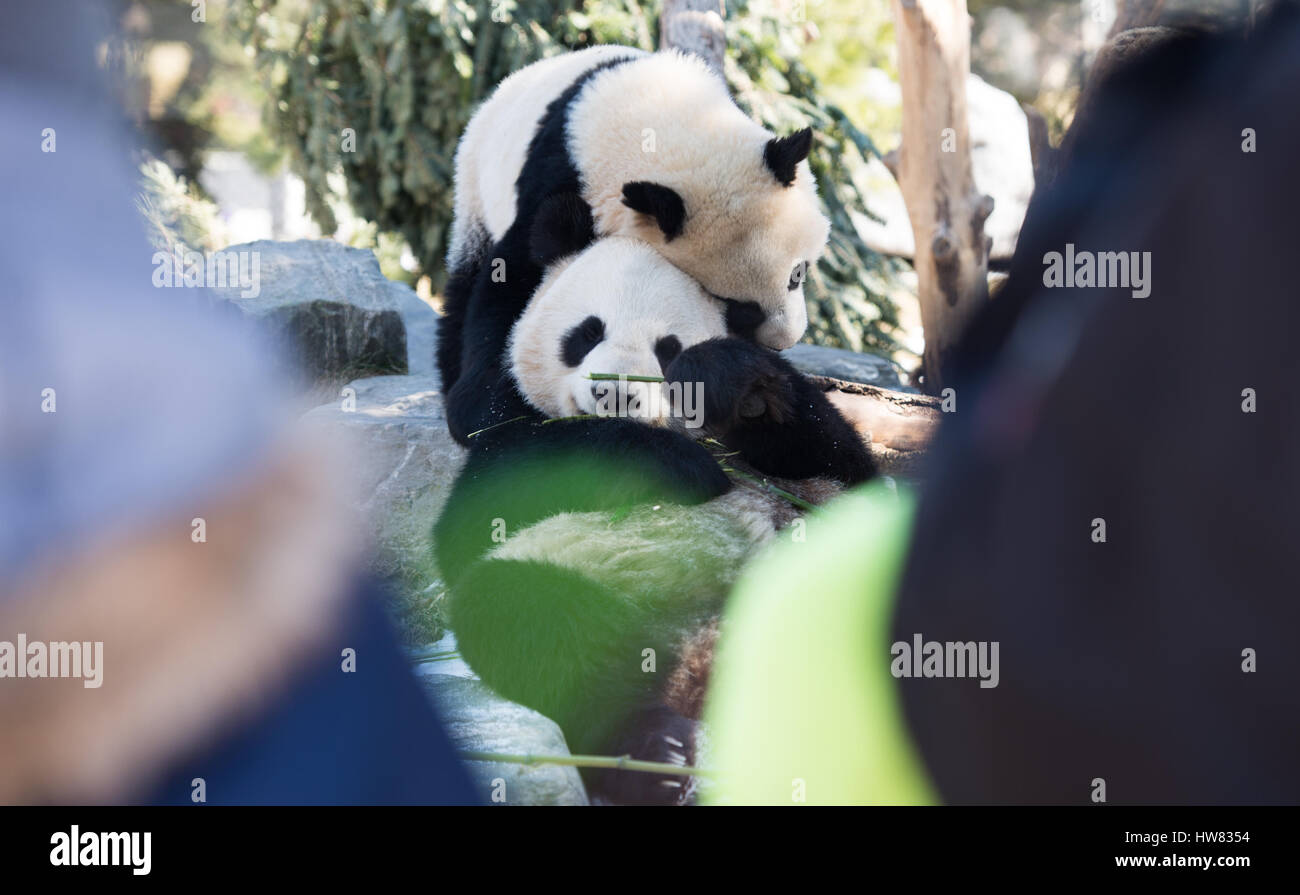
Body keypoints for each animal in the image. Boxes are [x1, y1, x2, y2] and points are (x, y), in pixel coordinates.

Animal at [433, 211, 872, 804]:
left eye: (667, 347)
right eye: (587, 333)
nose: (617, 393)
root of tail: (701, 659)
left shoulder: (812, 472)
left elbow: (838, 455)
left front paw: (733, 384)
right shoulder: (505, 438)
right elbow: (474, 524)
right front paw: (676, 462)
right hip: (596, 582)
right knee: (535, 622)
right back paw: (653, 751)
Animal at [438, 46, 831, 444]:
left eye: (797, 274)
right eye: (738, 307)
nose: (783, 342)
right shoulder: (556, 179)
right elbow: (511, 276)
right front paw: (491, 401)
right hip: (475, 189)